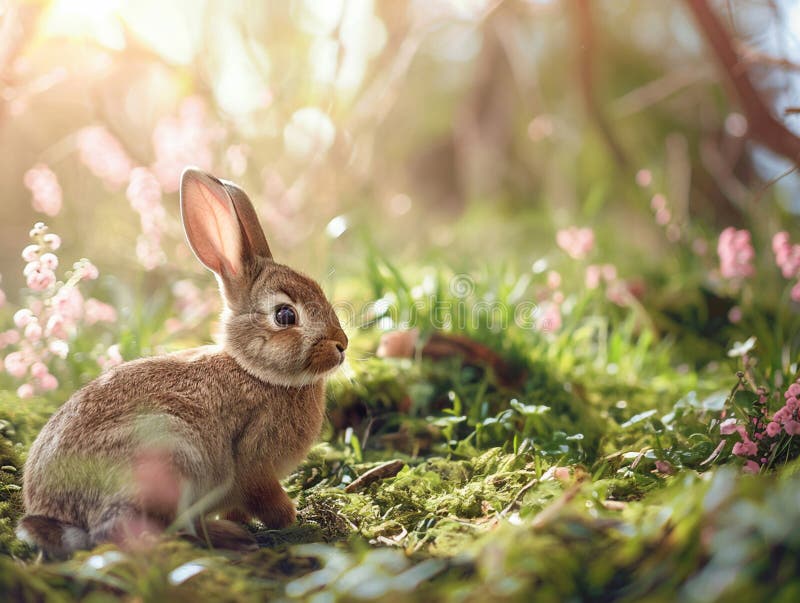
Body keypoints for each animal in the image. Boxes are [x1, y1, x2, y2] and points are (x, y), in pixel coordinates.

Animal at [16, 167, 348, 558]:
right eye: (285, 315)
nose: (342, 345)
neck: (255, 372)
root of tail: (61, 514)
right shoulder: (254, 459)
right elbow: (263, 495)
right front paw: (292, 517)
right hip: (169, 455)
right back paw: (227, 538)